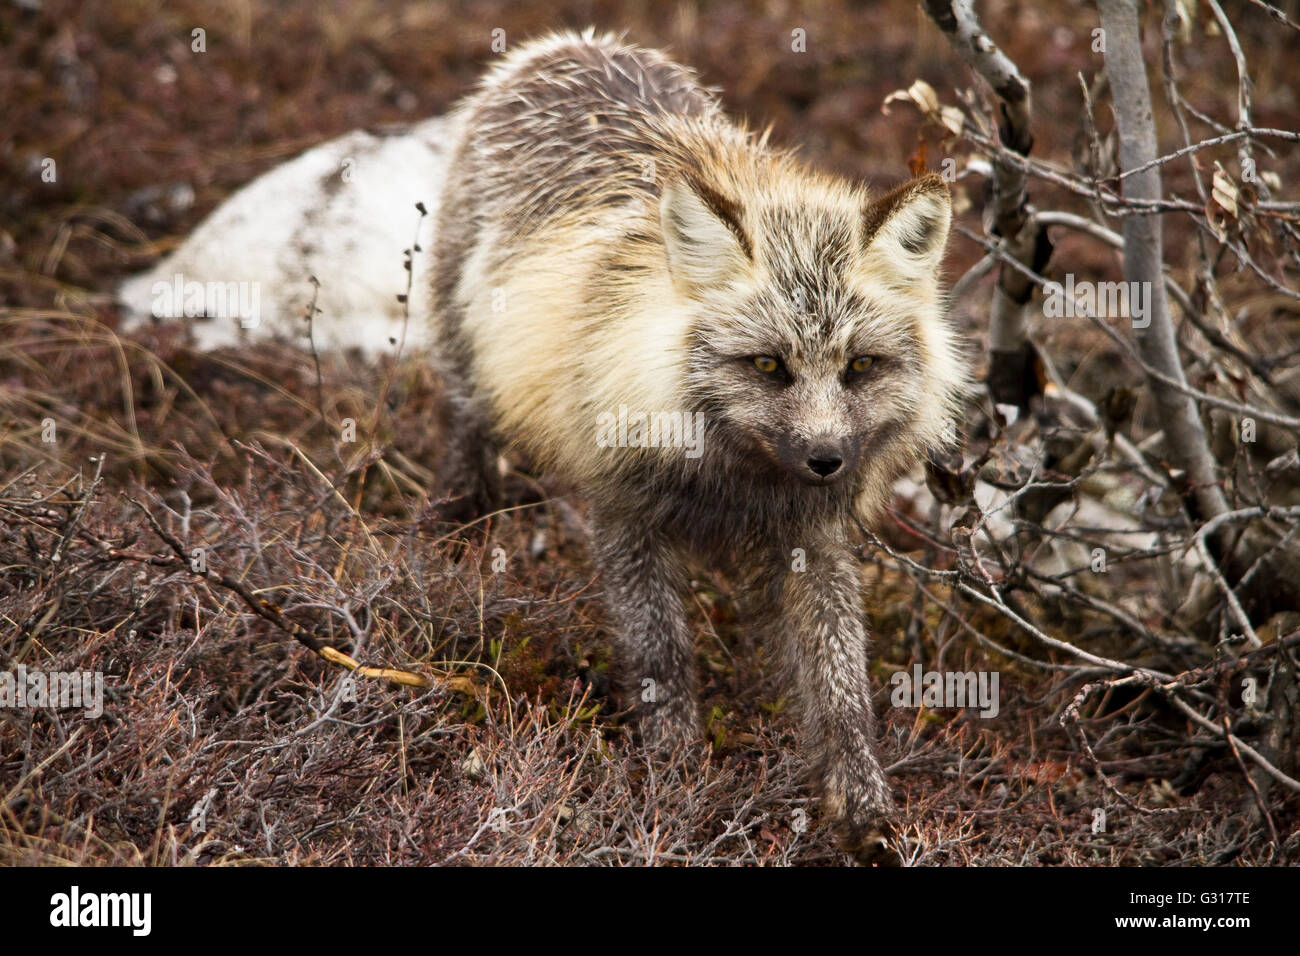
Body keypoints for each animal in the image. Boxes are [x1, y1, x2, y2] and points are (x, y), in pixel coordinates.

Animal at [429, 30, 968, 861]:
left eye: (860, 367)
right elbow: (662, 657)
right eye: (769, 365)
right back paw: (458, 525)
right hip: (466, 360)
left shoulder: (812, 538)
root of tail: (573, 45)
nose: (825, 461)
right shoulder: (622, 514)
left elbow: (842, 682)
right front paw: (675, 779)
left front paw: (862, 806)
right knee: (467, 430)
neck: (733, 479)